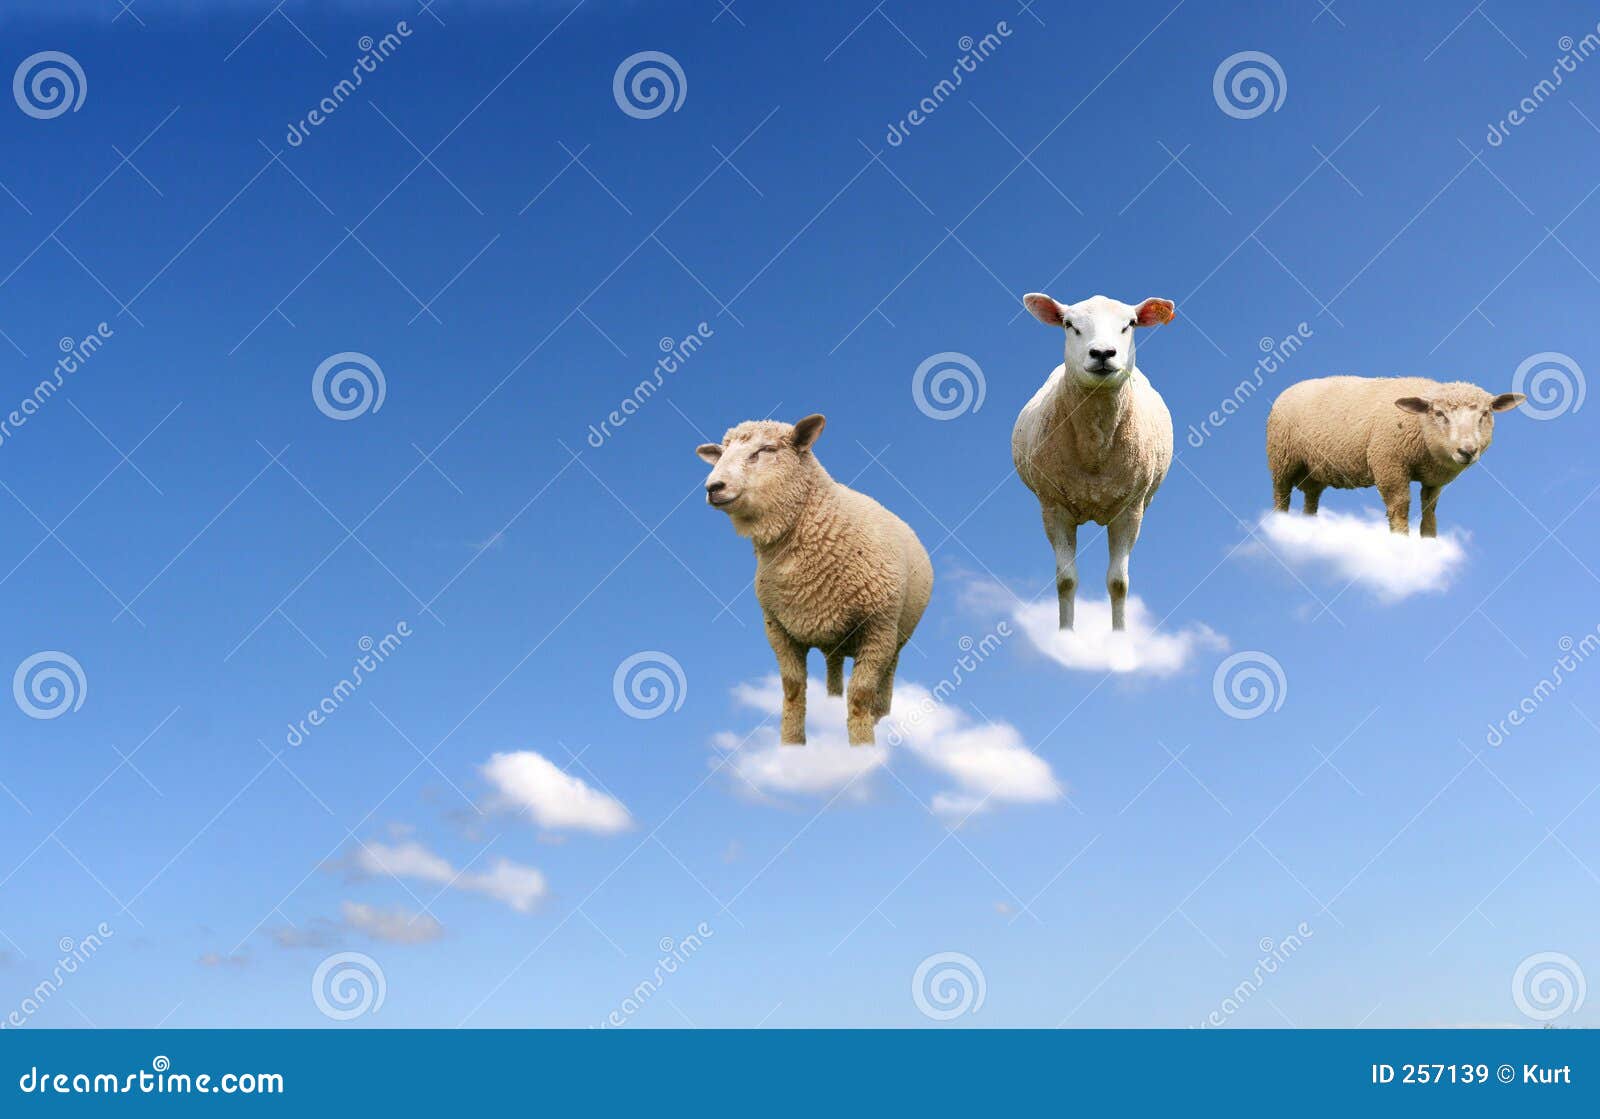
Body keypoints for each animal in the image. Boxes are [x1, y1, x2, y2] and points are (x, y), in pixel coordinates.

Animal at [697, 414, 933, 746]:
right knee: (834, 667)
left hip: (897, 636)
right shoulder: (778, 629)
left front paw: (863, 746)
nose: (713, 487)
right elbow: (793, 689)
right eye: (721, 454)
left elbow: (860, 696)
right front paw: (791, 743)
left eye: (767, 449)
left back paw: (880, 716)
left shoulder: (878, 630)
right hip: (833, 636)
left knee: (887, 677)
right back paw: (832, 699)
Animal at [1013, 292, 1176, 631]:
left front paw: (1120, 636)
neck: (1094, 452)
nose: (1102, 353)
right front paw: (1065, 634)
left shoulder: (1130, 510)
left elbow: (1118, 583)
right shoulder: (1053, 507)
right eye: (1068, 324)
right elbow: (1066, 581)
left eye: (1130, 324)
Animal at [1266, 376, 1525, 535]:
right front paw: (1401, 540)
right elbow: (1399, 507)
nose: (1467, 451)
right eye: (1439, 414)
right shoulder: (1389, 464)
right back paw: (1281, 523)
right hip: (1282, 459)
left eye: (1485, 414)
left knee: (1311, 499)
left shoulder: (1433, 479)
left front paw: (1429, 539)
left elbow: (1430, 509)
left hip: (1315, 470)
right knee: (1281, 495)